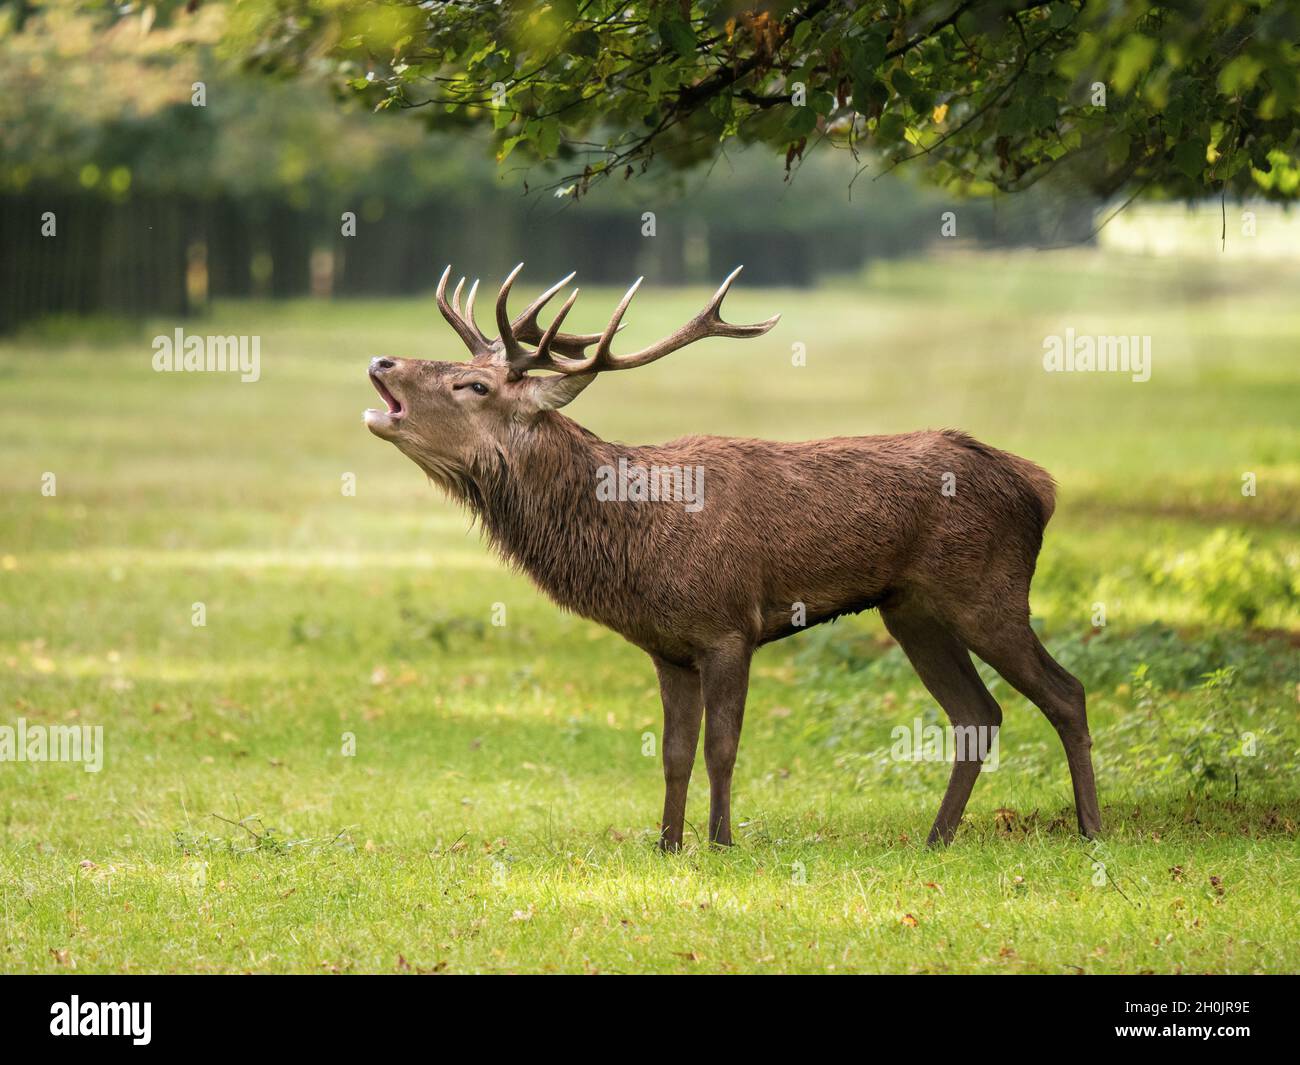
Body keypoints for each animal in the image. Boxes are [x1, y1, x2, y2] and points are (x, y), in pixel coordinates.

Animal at [364, 264, 1102, 850]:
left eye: (474, 386)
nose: (381, 362)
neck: (635, 542)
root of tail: (1041, 485)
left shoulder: (727, 624)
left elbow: (721, 745)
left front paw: (720, 841)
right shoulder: (666, 647)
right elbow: (673, 752)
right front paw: (667, 843)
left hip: (990, 589)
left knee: (1065, 690)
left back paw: (1090, 827)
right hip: (912, 611)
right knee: (977, 712)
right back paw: (937, 837)